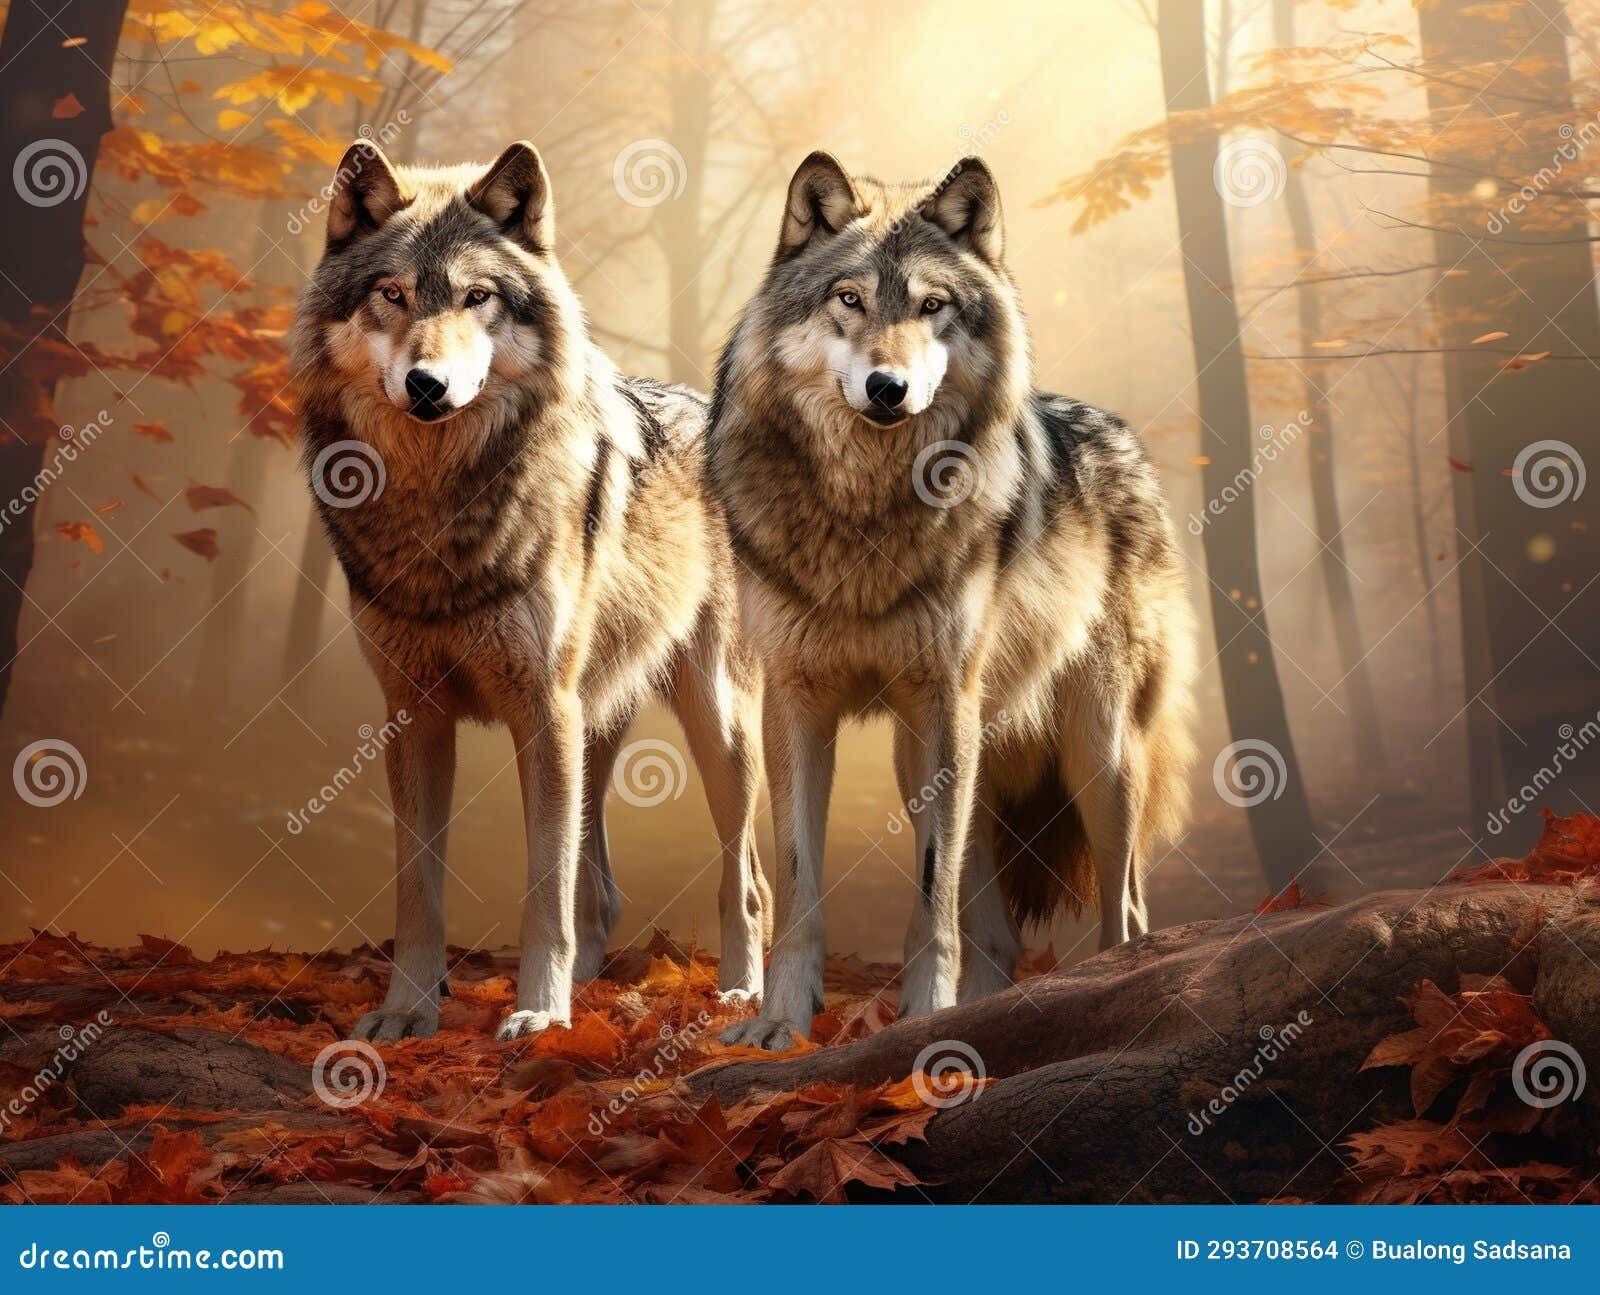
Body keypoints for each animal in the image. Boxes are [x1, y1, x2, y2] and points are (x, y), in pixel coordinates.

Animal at [290, 138, 770, 1042]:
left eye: (477, 297)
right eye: (391, 294)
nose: (427, 384)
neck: (437, 508)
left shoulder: (541, 711)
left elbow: (544, 886)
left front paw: (538, 1013)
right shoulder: (413, 716)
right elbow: (418, 889)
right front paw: (407, 1008)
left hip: (714, 724)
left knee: (748, 883)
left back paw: (738, 997)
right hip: (597, 727)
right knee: (604, 892)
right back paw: (589, 993)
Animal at [708, 152, 1196, 1050]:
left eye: (933, 306)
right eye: (849, 299)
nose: (887, 387)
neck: (866, 519)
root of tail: (1122, 437)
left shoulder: (943, 701)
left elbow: (931, 896)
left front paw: (924, 1016)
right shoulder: (795, 705)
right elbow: (797, 886)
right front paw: (781, 1020)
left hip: (1094, 753)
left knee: (1129, 907)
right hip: (941, 755)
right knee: (997, 929)